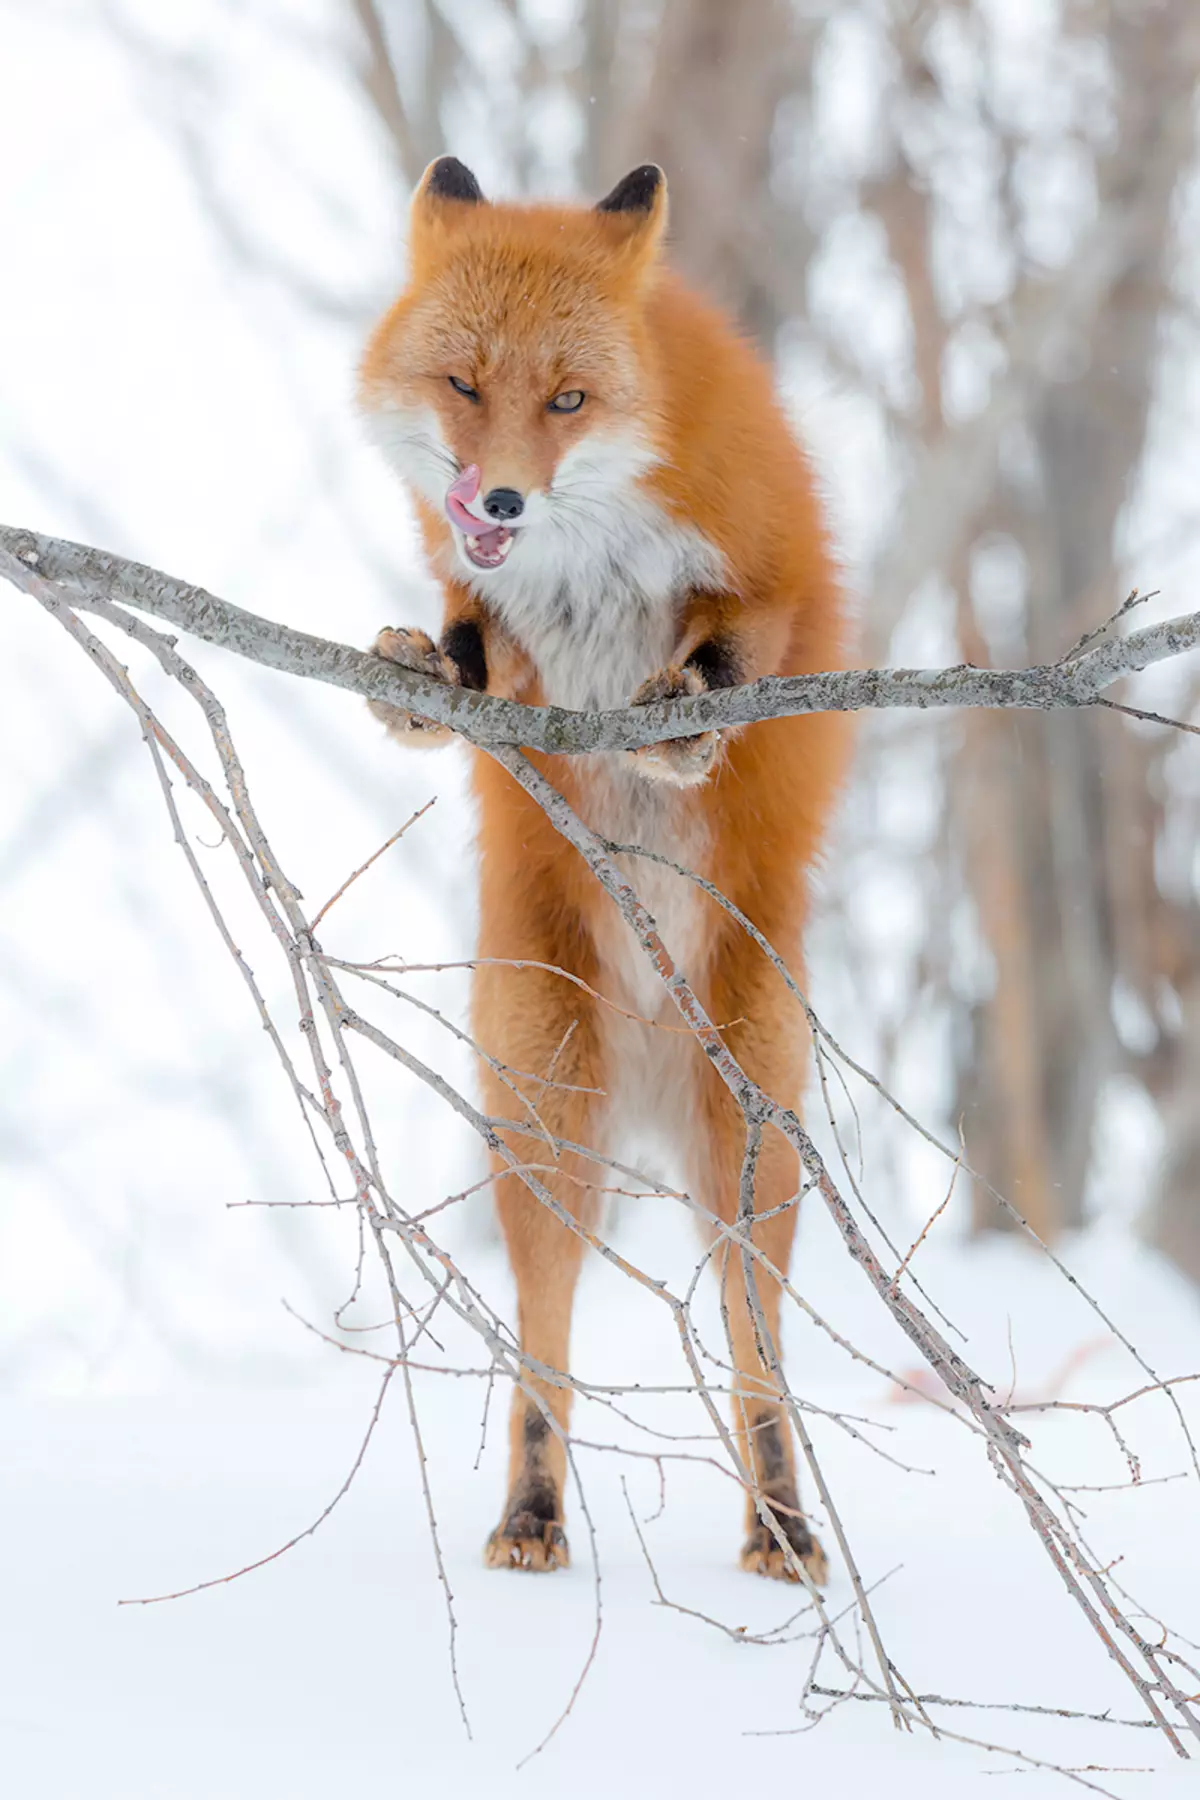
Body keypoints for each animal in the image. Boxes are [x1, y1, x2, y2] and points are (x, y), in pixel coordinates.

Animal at [356, 162, 845, 1584]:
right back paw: (532, 1514)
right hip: (544, 1120)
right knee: (545, 1342)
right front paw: (421, 679)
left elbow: (739, 649)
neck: (589, 555)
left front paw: (682, 725)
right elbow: (473, 655)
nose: (500, 502)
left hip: (750, 1151)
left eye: (569, 401)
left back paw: (783, 1524)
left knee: (754, 1352)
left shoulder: (776, 562)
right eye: (464, 384)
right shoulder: (501, 624)